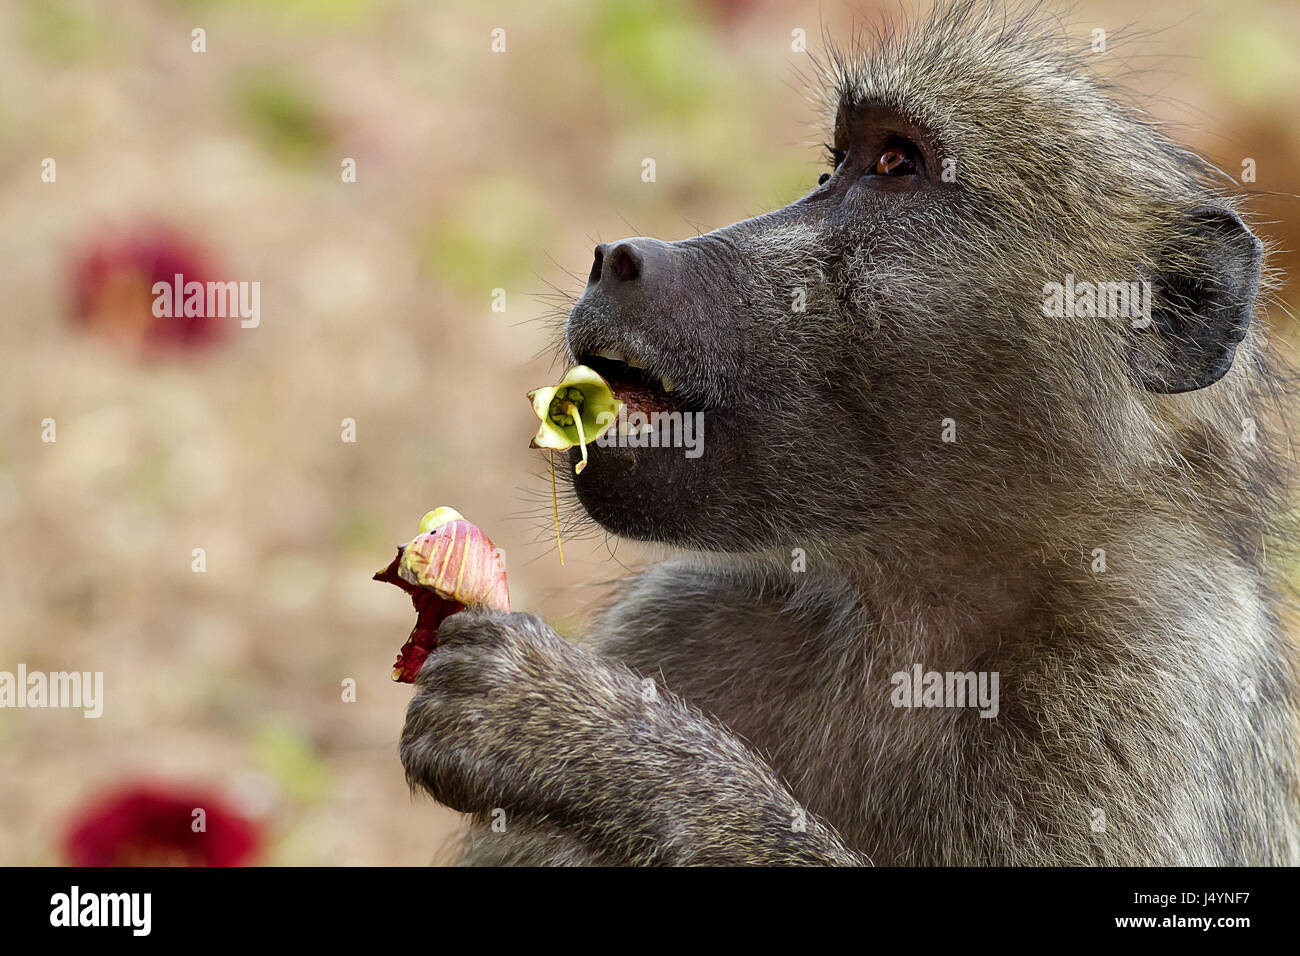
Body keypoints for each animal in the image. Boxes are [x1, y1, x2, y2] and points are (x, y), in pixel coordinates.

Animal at [399, 0, 1300, 865]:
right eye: (830, 167)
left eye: (897, 164)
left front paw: (587, 734)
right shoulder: (684, 613)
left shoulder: (1141, 692)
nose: (620, 258)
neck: (913, 612)